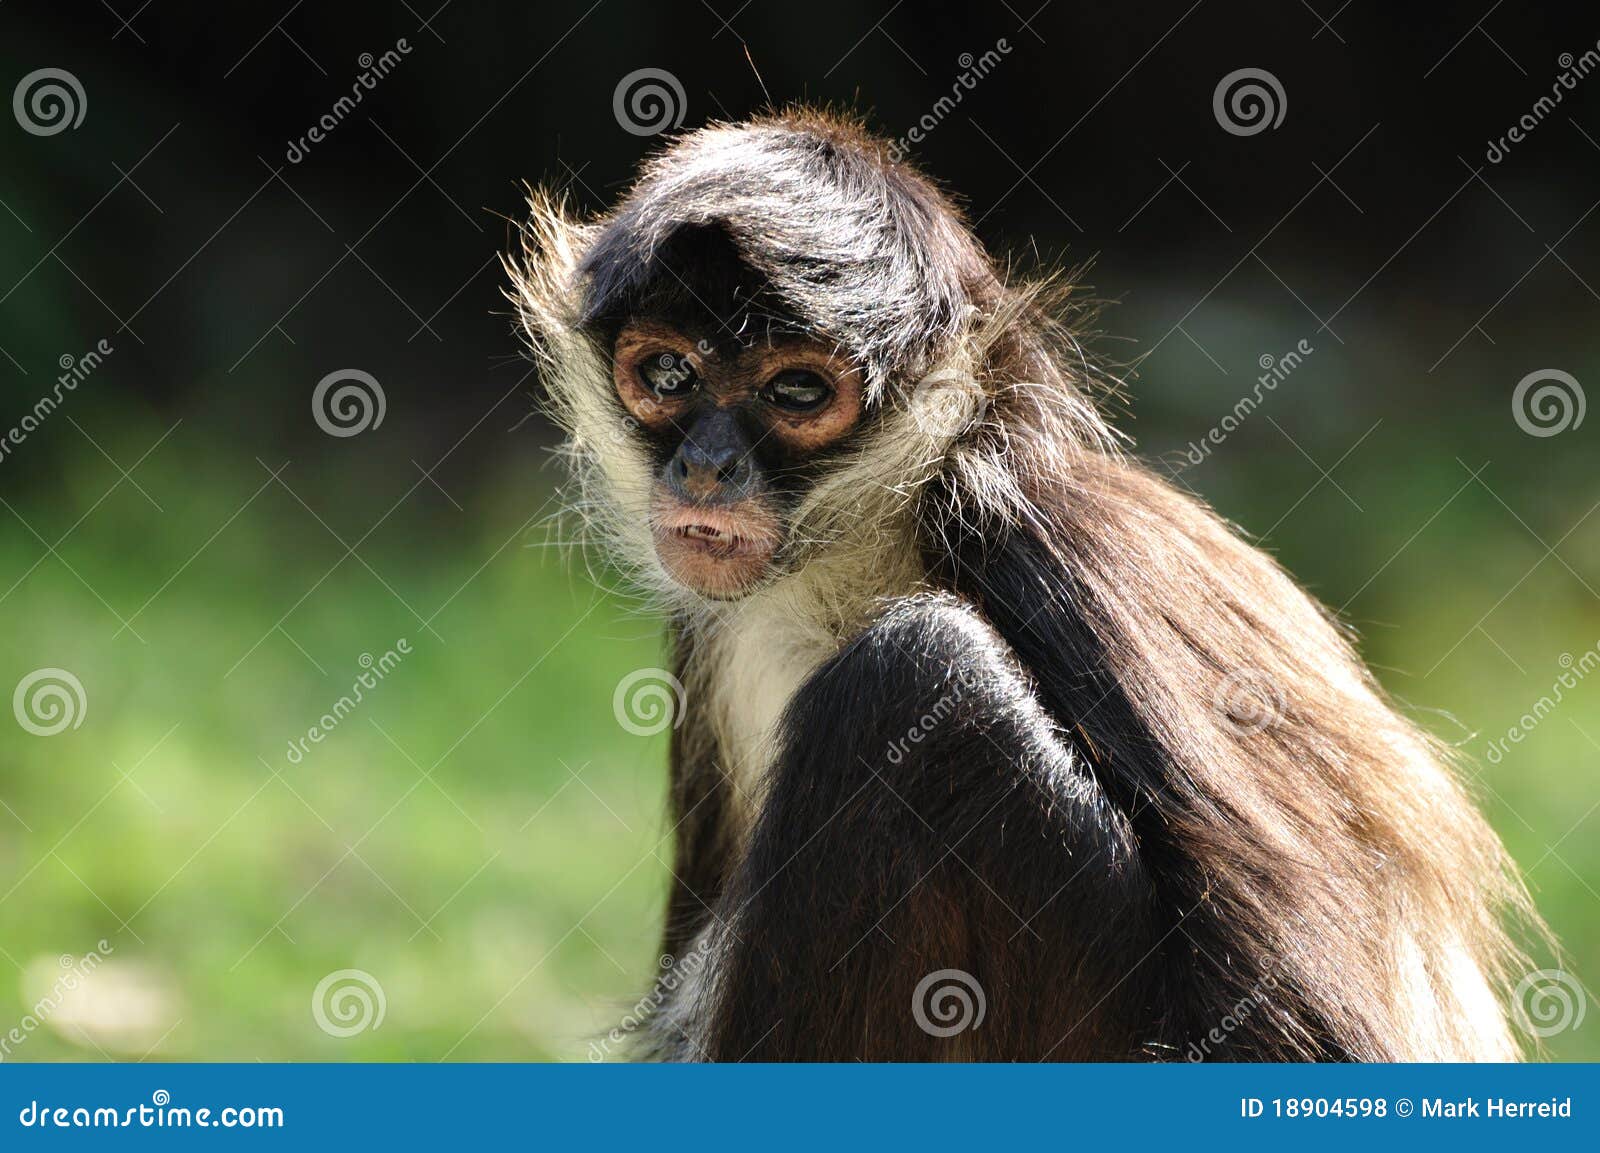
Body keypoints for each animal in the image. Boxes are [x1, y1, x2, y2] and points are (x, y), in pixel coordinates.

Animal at [506, 109, 1544, 1061]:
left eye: (795, 392)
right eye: (667, 374)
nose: (707, 468)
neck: (868, 561)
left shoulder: (1055, 545)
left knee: (919, 667)